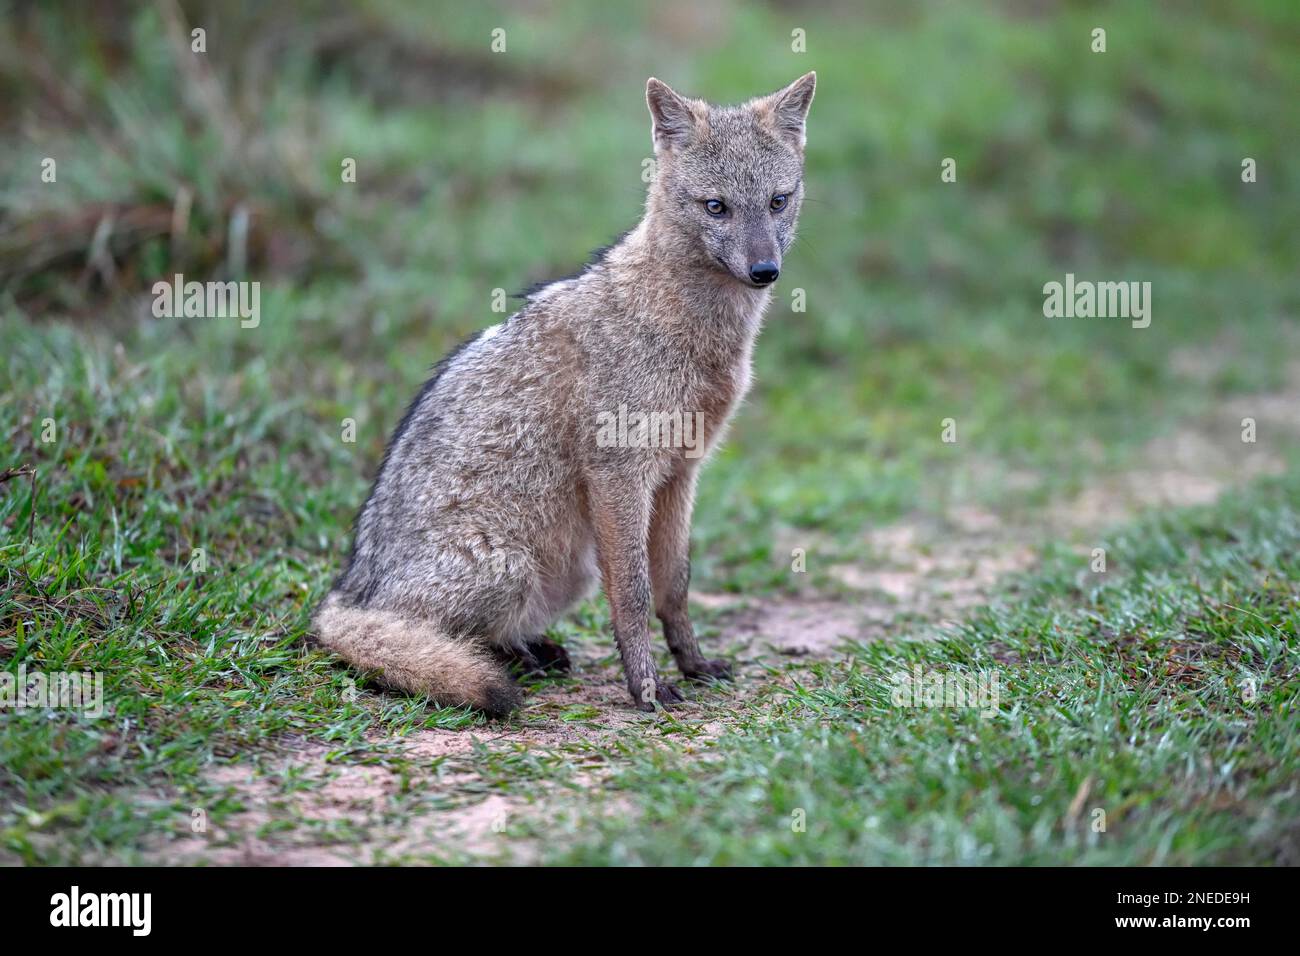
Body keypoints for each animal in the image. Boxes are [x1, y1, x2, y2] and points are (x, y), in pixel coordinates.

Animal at [315, 72, 816, 715]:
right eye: (716, 206)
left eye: (777, 201)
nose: (764, 271)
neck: (691, 329)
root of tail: (348, 590)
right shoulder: (619, 475)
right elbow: (634, 595)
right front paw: (645, 686)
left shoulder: (681, 473)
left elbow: (675, 588)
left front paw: (694, 663)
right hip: (514, 567)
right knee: (428, 637)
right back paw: (508, 661)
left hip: (569, 569)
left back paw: (533, 652)